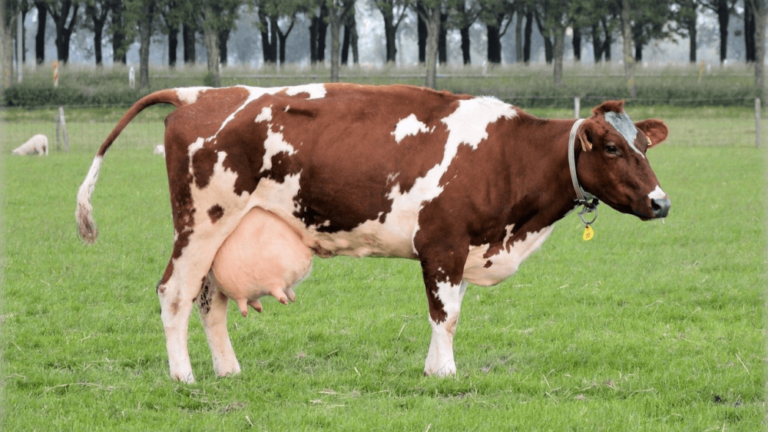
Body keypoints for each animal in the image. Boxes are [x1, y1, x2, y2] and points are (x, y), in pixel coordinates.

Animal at [76, 84, 670, 383]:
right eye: (611, 147)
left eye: (644, 144)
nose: (662, 202)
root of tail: (200, 92)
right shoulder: (444, 244)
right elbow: (445, 315)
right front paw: (445, 374)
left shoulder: (458, 248)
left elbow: (449, 313)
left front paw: (433, 368)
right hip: (201, 221)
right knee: (174, 293)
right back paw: (184, 377)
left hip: (225, 232)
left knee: (210, 300)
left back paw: (229, 370)